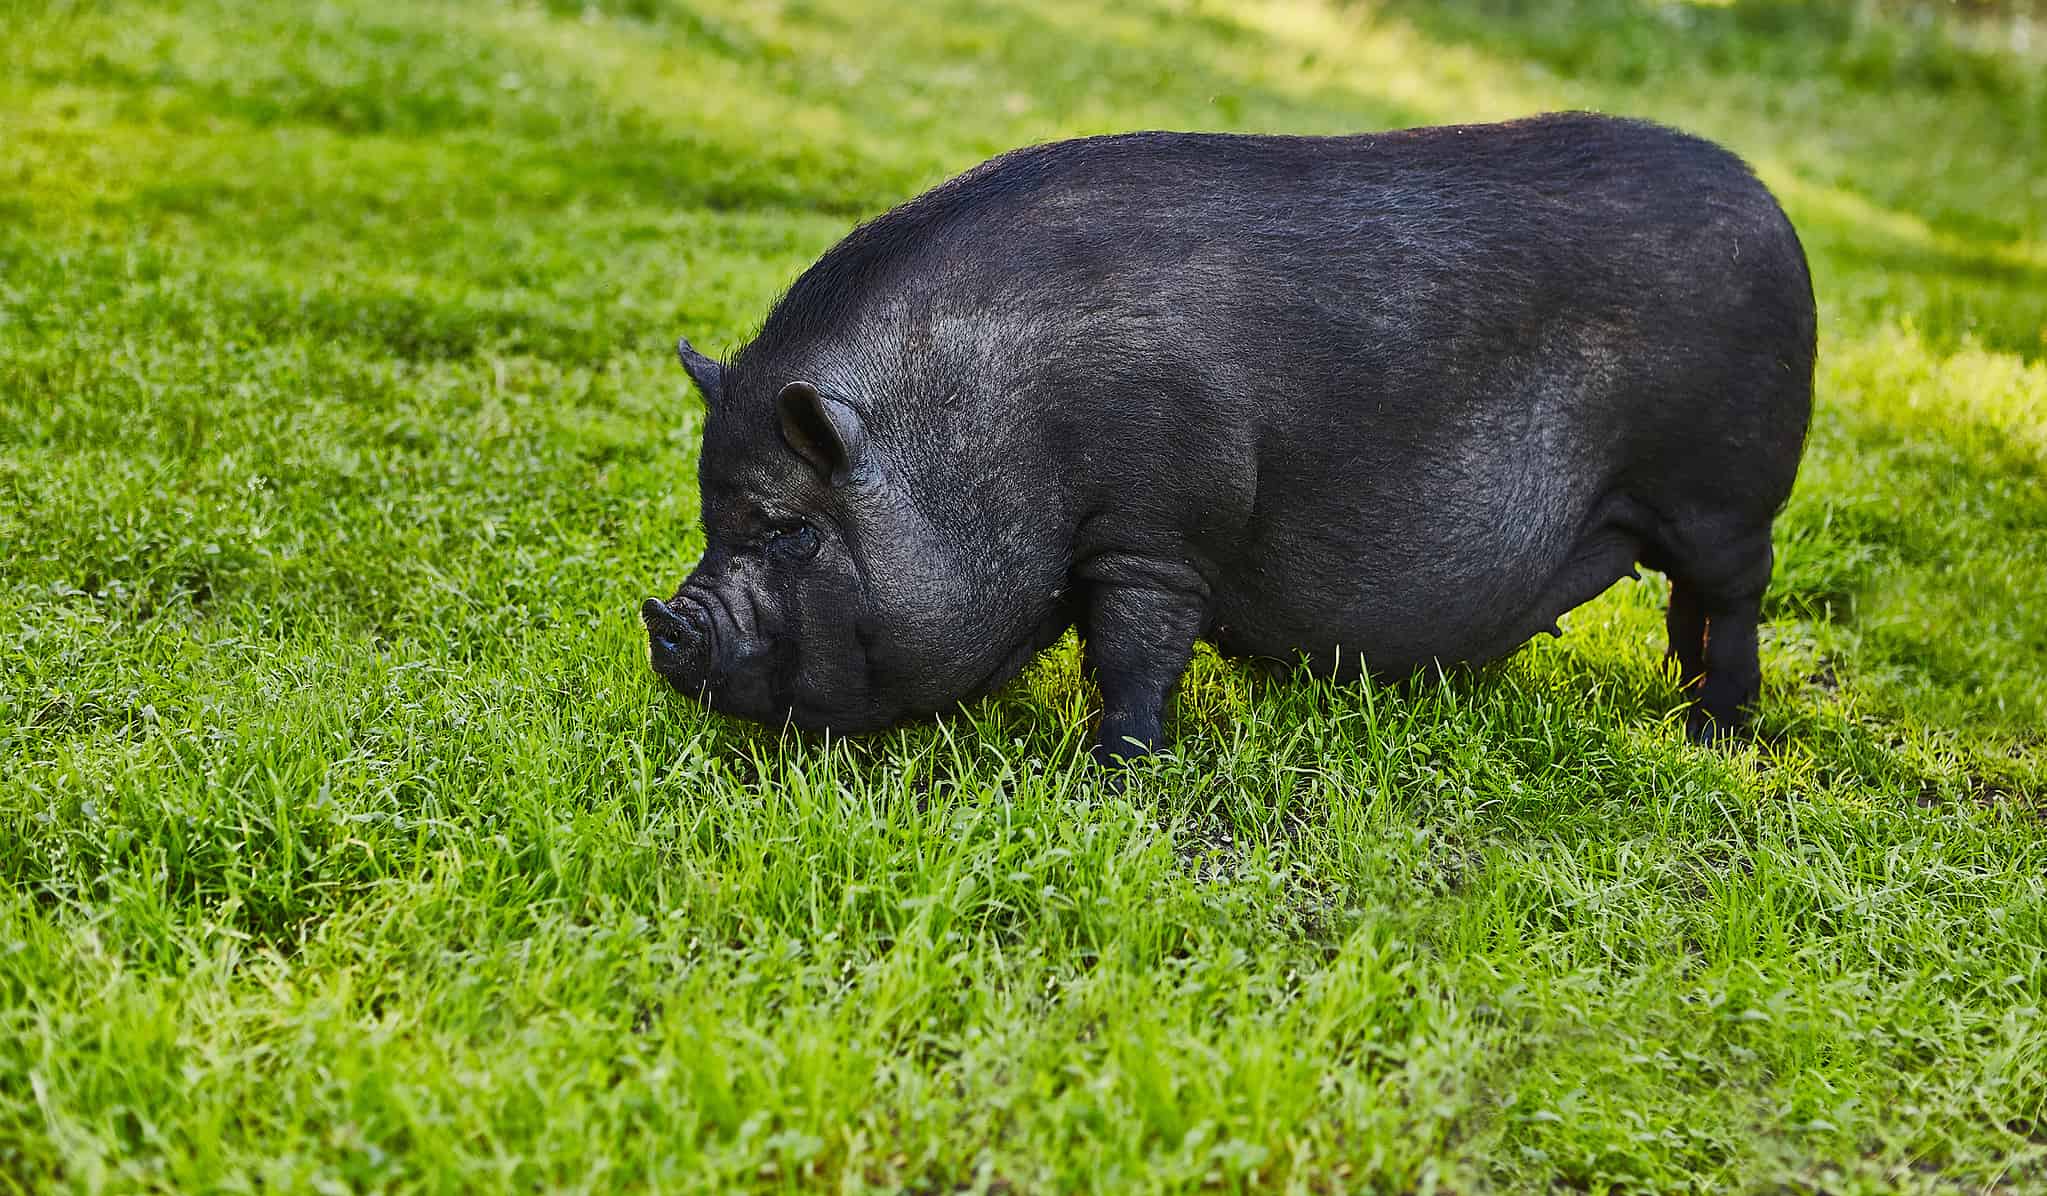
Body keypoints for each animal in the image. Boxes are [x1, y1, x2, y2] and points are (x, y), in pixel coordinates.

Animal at [642, 112, 1815, 764]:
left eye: (792, 530)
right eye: (711, 517)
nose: (665, 626)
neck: (991, 425)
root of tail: (1770, 206)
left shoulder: (1158, 529)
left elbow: (1132, 651)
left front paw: (1114, 771)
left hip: (1723, 489)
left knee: (1732, 599)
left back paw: (1711, 730)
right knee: (1685, 602)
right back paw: (1677, 700)